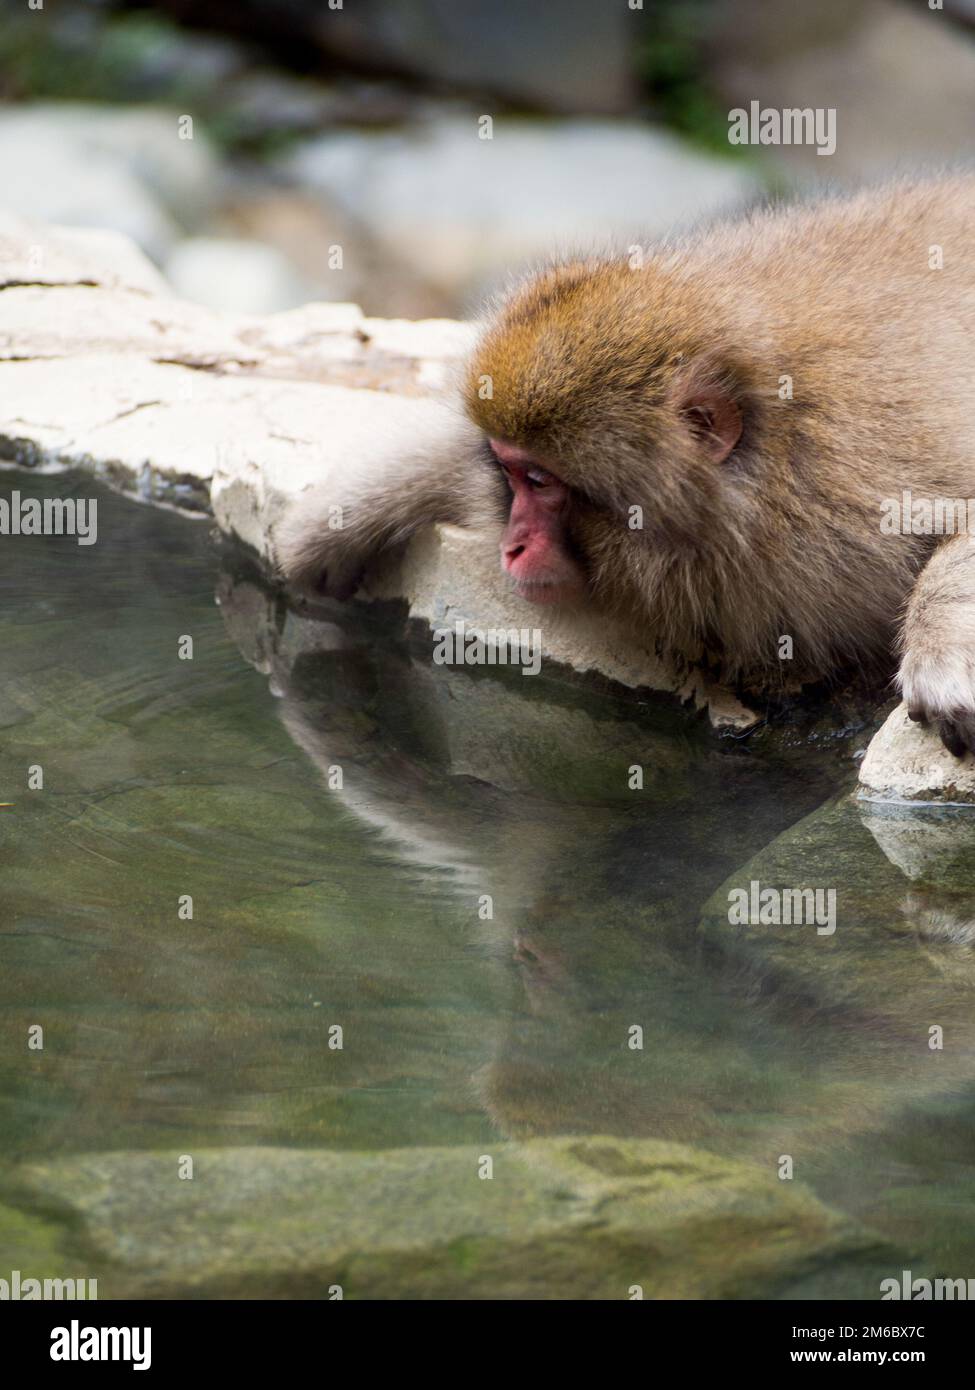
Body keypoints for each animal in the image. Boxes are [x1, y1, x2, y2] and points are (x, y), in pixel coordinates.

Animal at [277, 175, 975, 753]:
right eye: (508, 471)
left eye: (539, 481)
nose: (511, 547)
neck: (770, 479)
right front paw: (339, 520)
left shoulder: (860, 487)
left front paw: (940, 654)